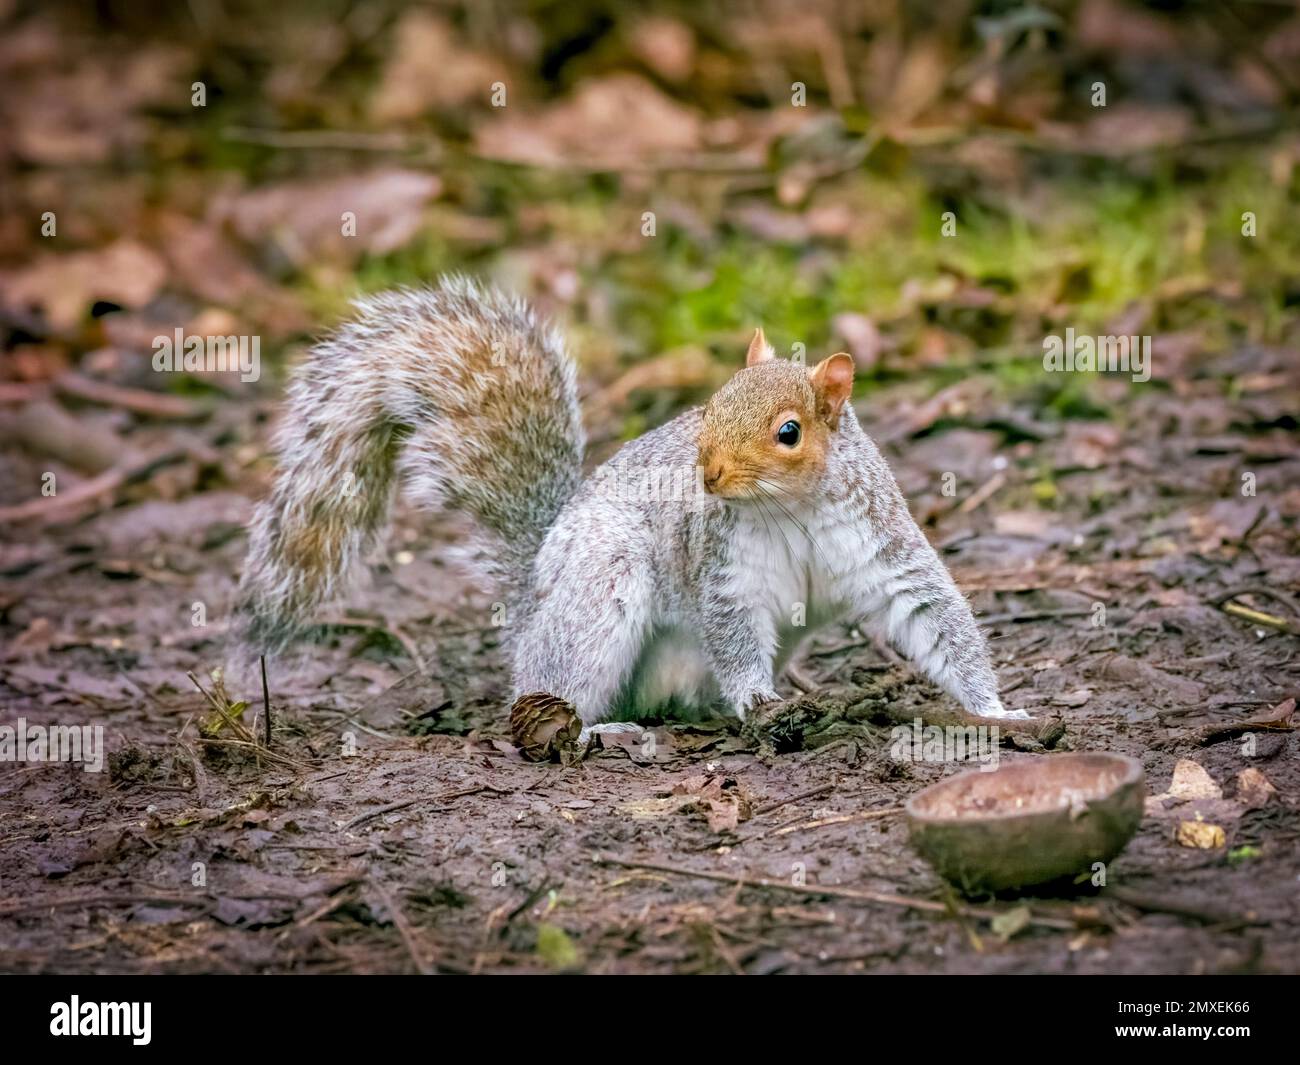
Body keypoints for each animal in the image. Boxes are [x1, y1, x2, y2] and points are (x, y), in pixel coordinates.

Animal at [237, 276, 1026, 745]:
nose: (707, 472)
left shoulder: (881, 545)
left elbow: (934, 616)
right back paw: (597, 731)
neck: (791, 510)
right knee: (553, 685)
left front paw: (994, 710)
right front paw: (757, 702)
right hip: (597, 592)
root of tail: (533, 593)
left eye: (789, 432)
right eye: (709, 403)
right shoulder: (726, 572)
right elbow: (734, 635)